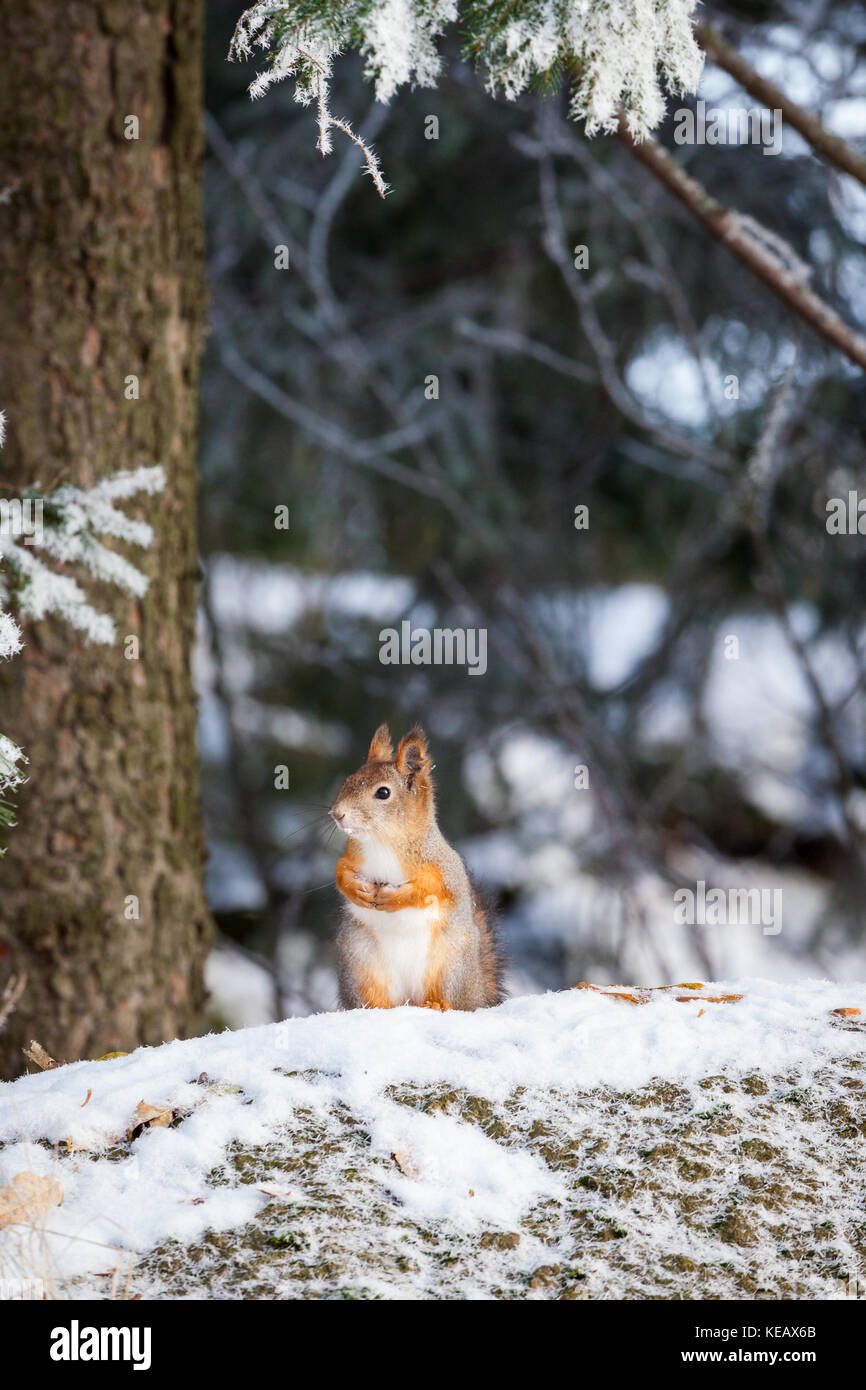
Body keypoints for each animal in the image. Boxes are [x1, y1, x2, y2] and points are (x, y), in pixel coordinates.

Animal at [330, 724, 505, 1012]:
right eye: (348, 780)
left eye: (383, 792)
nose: (337, 814)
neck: (383, 841)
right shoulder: (349, 858)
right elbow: (340, 873)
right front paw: (356, 890)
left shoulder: (446, 868)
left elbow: (432, 887)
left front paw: (396, 897)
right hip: (361, 964)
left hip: (450, 966)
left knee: (453, 1000)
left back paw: (437, 1004)